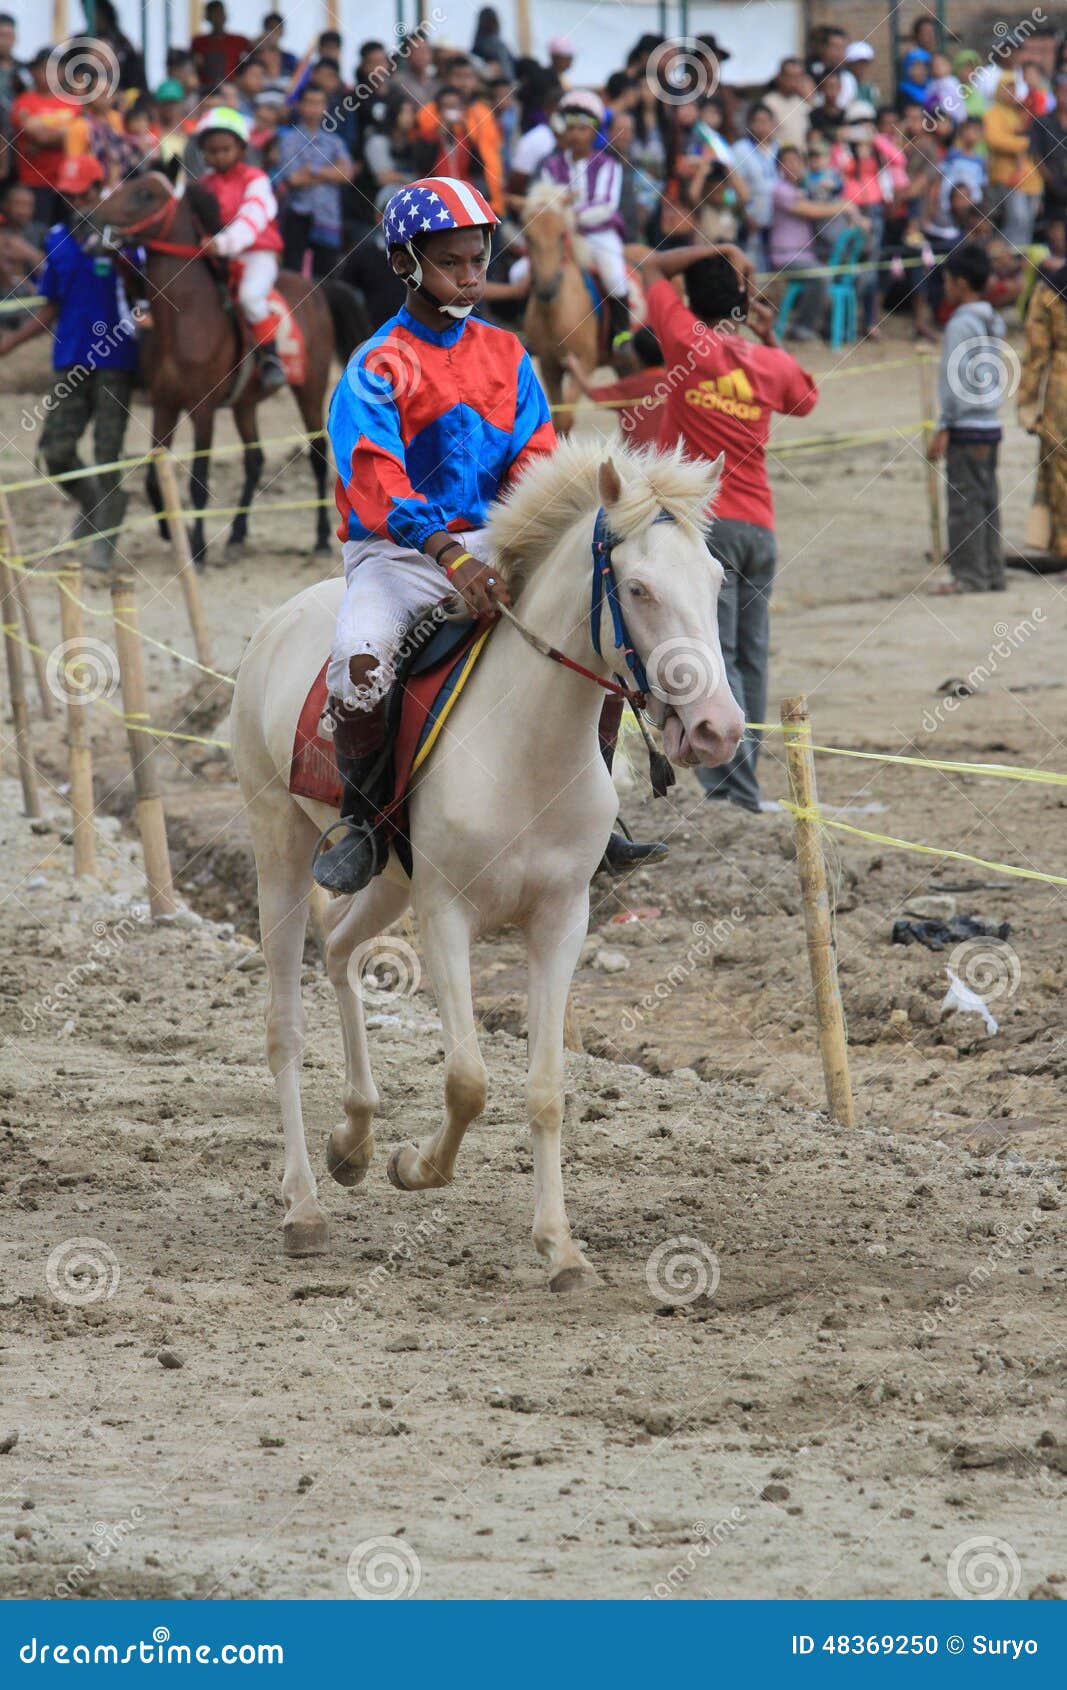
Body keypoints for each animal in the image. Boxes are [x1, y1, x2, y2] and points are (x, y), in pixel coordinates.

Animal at [87, 170, 369, 565]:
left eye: (145, 194)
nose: (91, 219)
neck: (184, 318)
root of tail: (317, 286)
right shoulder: (164, 405)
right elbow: (153, 476)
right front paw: (170, 529)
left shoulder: (202, 409)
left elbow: (199, 481)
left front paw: (197, 548)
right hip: (244, 404)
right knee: (254, 459)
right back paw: (237, 534)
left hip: (310, 390)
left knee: (317, 455)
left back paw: (320, 538)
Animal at [231, 437, 743, 1288]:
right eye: (637, 588)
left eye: (714, 582)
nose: (716, 729)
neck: (528, 743)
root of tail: (278, 620)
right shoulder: (446, 914)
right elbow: (467, 1082)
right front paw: (416, 1167)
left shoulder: (562, 920)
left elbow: (545, 1088)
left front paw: (560, 1248)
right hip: (280, 845)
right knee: (284, 1026)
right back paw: (304, 1205)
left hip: (384, 878)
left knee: (339, 952)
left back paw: (353, 1140)